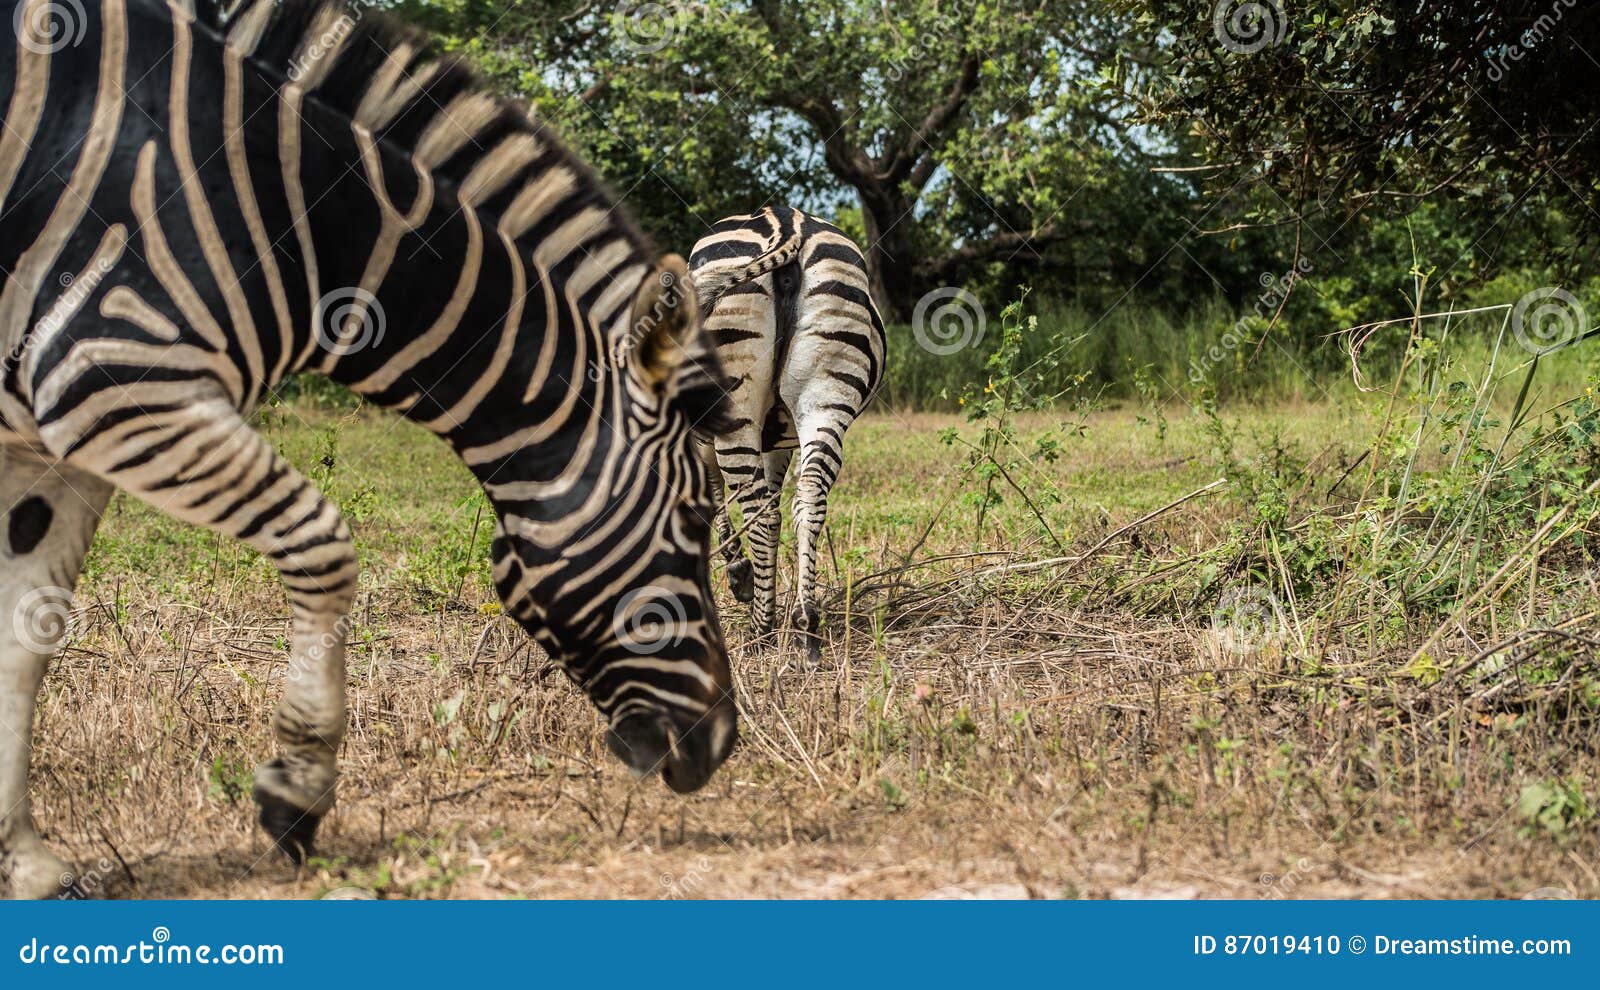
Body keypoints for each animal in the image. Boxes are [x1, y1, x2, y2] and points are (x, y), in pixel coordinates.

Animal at [0, 0, 738, 899]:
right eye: (697, 514)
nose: (721, 744)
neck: (303, 222)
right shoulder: (111, 373)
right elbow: (326, 545)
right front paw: (296, 793)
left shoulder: (51, 442)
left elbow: (27, 631)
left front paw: (25, 859)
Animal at [689, 206, 886, 664]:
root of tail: (785, 220)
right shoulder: (776, 441)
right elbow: (774, 502)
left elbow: (715, 495)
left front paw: (740, 576)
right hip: (827, 395)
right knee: (808, 499)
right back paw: (805, 626)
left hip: (736, 407)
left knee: (757, 512)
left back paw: (760, 630)